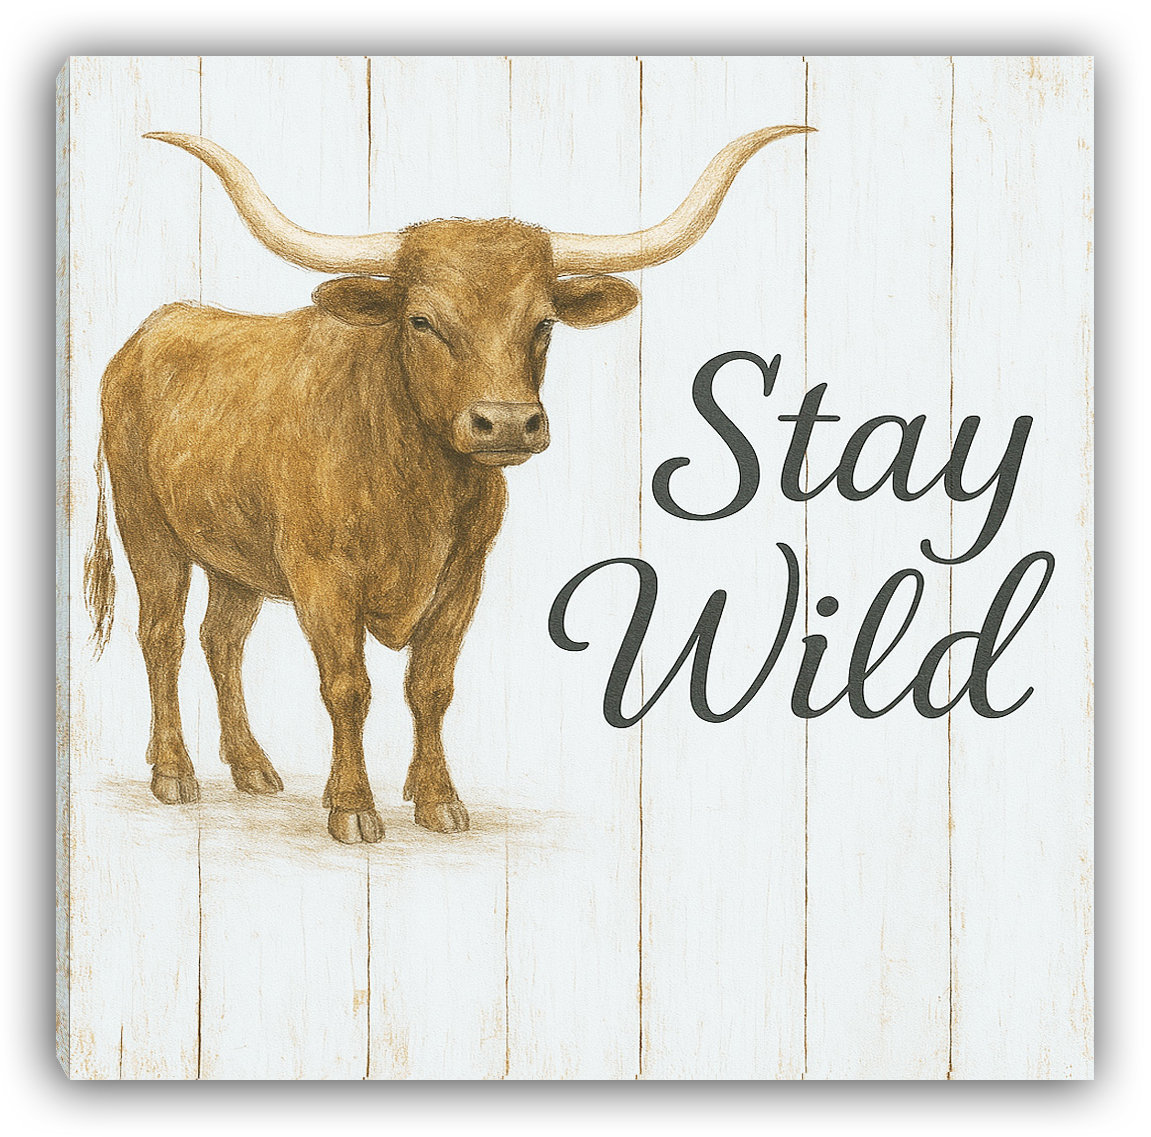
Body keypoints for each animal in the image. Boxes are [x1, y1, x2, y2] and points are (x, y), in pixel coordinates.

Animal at [84, 125, 811, 843]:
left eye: (543, 322)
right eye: (422, 320)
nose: (507, 422)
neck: (417, 488)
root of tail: (154, 328)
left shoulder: (463, 576)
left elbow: (431, 686)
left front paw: (436, 798)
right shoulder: (322, 577)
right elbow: (347, 686)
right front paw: (352, 805)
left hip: (235, 556)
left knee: (223, 640)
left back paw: (250, 766)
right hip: (147, 528)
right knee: (163, 635)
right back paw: (173, 771)